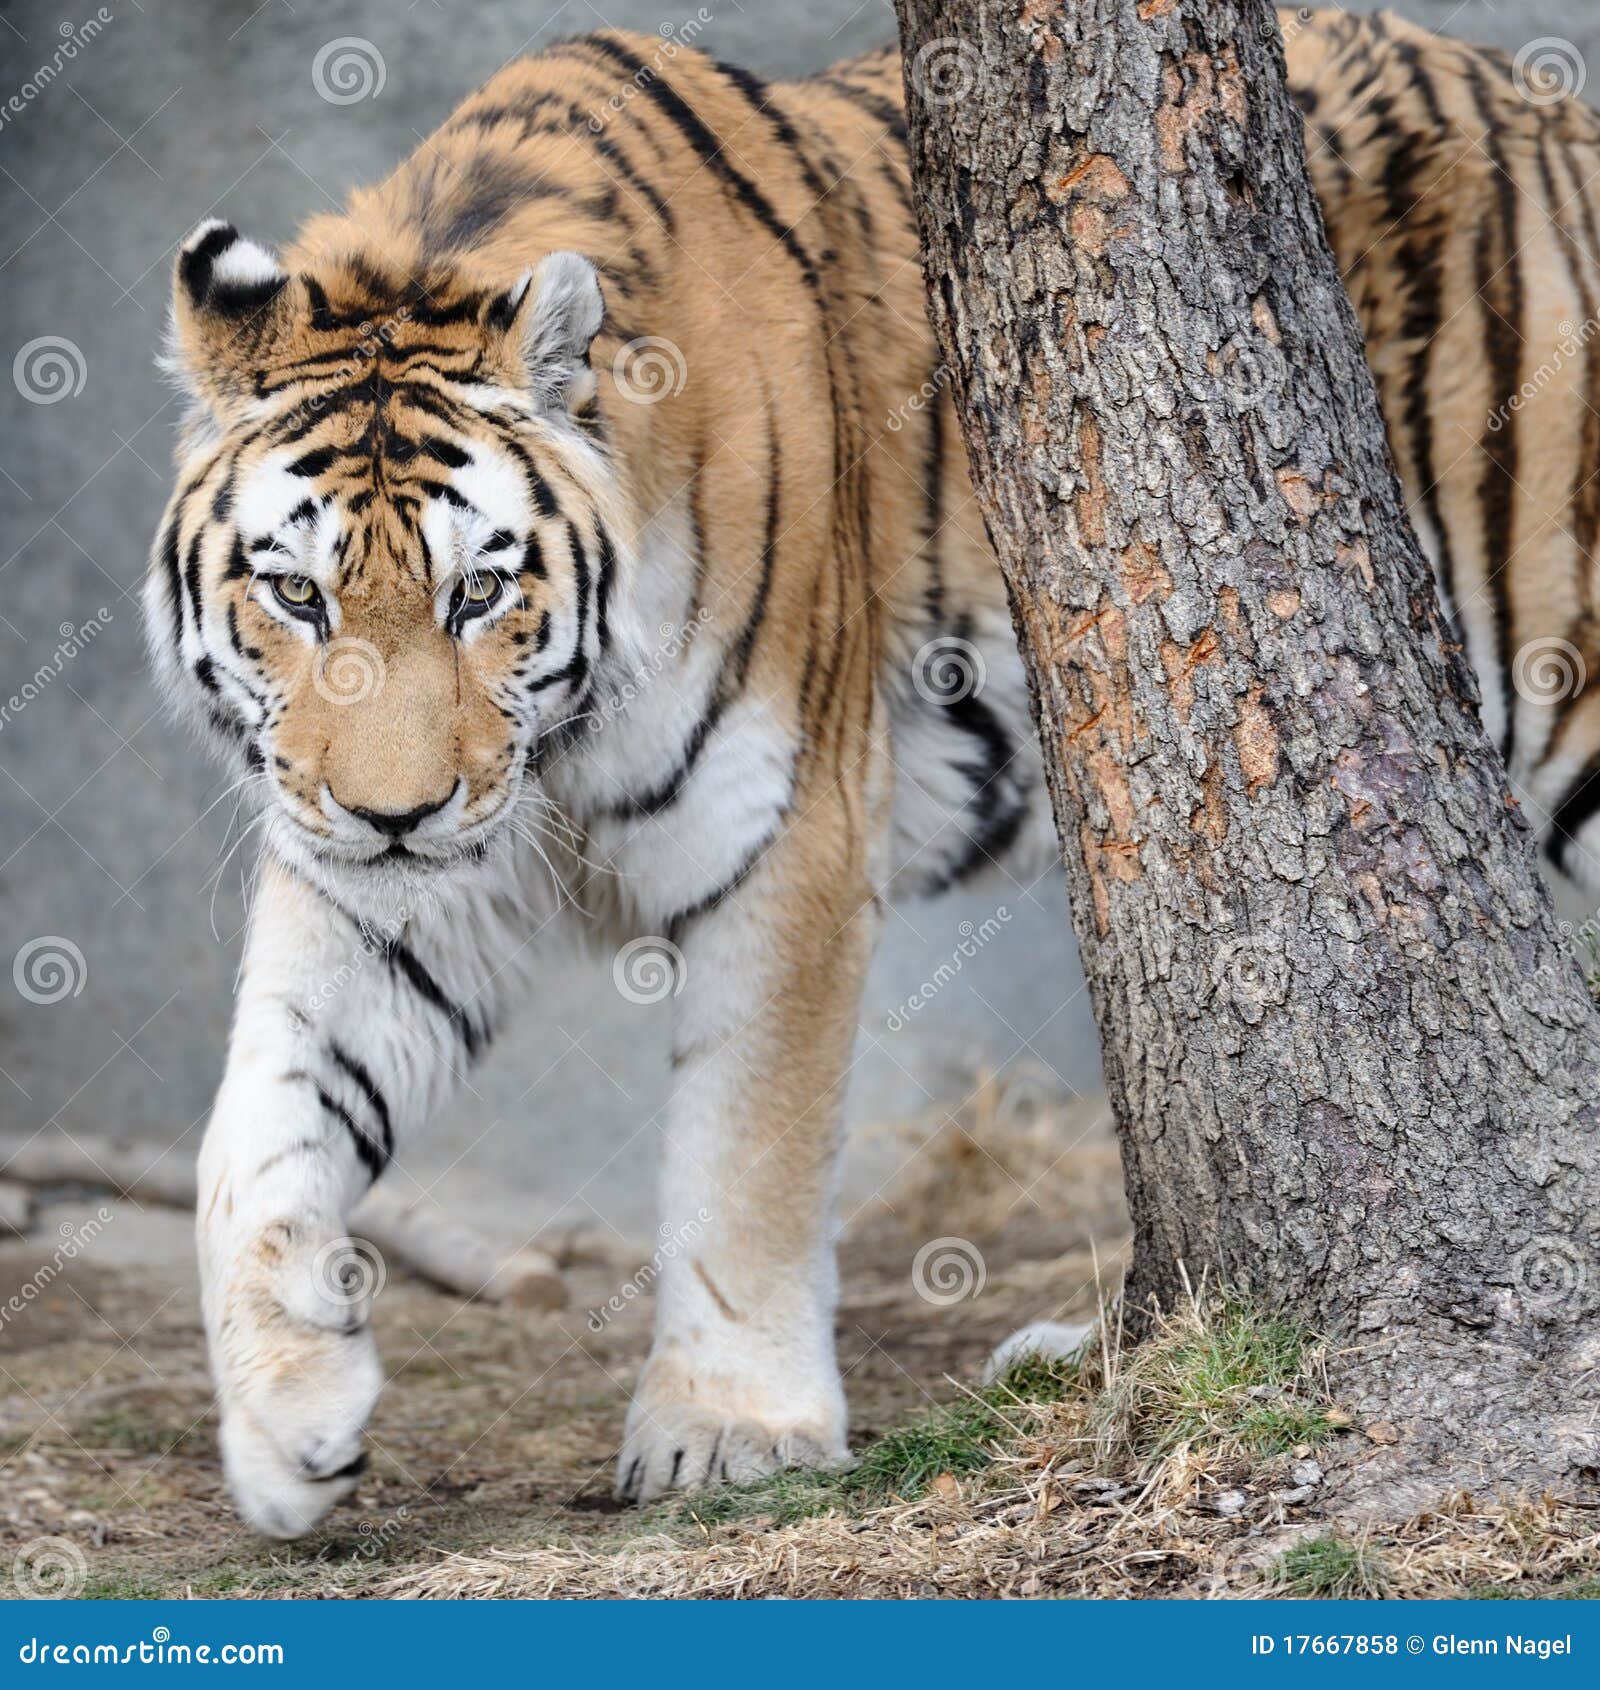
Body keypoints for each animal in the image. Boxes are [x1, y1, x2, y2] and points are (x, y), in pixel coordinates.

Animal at [147, 9, 1600, 1538]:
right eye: (297, 595)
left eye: (477, 589)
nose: (395, 811)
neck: (554, 751)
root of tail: (1548, 107)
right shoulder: (373, 888)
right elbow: (250, 1136)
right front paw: (289, 1423)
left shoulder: (786, 829)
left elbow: (747, 1149)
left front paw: (729, 1428)